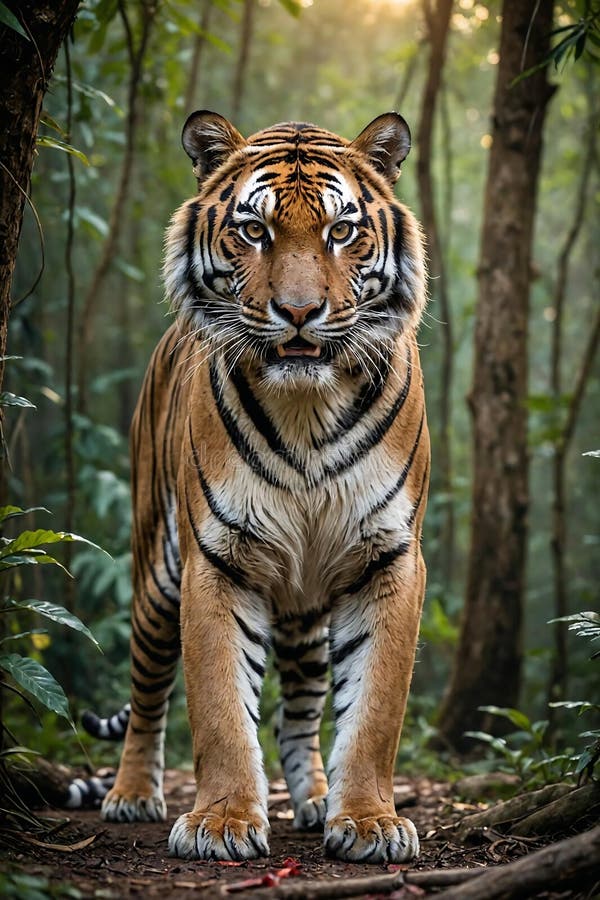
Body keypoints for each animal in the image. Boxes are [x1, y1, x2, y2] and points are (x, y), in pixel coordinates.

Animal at [94, 110, 430, 865]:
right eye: (254, 230)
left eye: (342, 230)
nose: (299, 312)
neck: (308, 408)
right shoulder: (216, 560)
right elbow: (219, 704)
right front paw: (221, 822)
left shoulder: (389, 556)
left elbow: (374, 709)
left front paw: (367, 820)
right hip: (155, 574)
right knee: (148, 689)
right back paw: (131, 793)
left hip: (306, 608)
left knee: (300, 710)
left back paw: (311, 798)